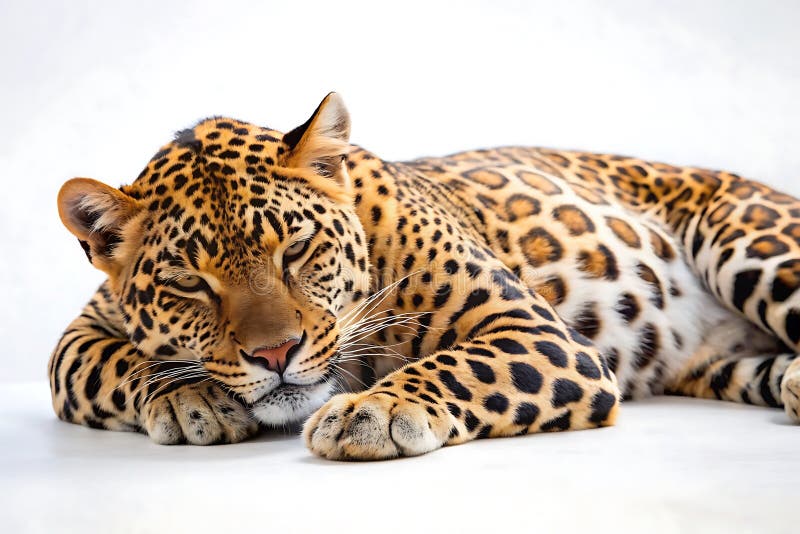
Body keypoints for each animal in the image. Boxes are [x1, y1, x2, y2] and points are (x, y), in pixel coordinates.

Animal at [50, 93, 800, 460]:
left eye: (297, 248)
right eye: (188, 283)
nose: (275, 354)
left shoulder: (535, 331)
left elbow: (460, 365)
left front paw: (373, 411)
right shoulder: (76, 334)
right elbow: (109, 362)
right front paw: (188, 397)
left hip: (750, 240)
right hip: (723, 367)